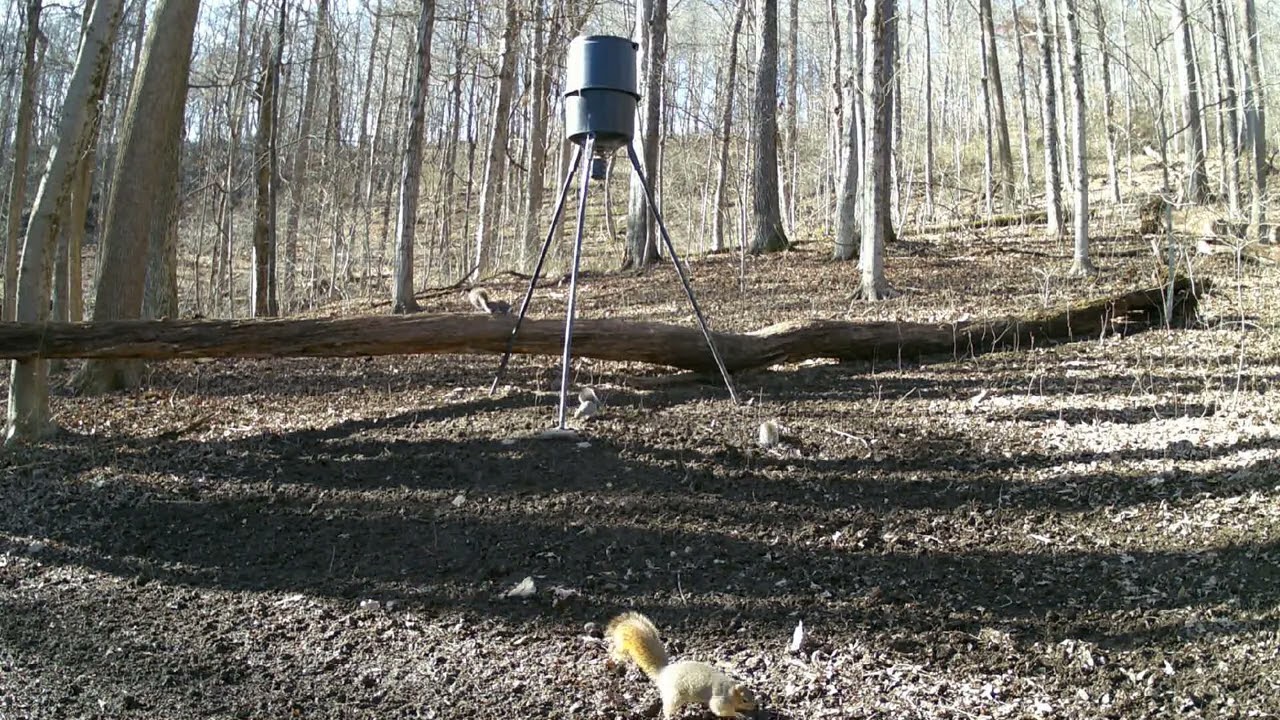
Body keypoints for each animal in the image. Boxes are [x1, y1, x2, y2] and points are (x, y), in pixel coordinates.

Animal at [607, 612, 758, 719]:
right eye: (745, 700)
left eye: (752, 694)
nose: (754, 707)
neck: (730, 689)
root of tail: (663, 673)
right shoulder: (721, 699)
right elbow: (721, 710)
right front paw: (738, 714)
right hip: (675, 696)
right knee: (667, 709)